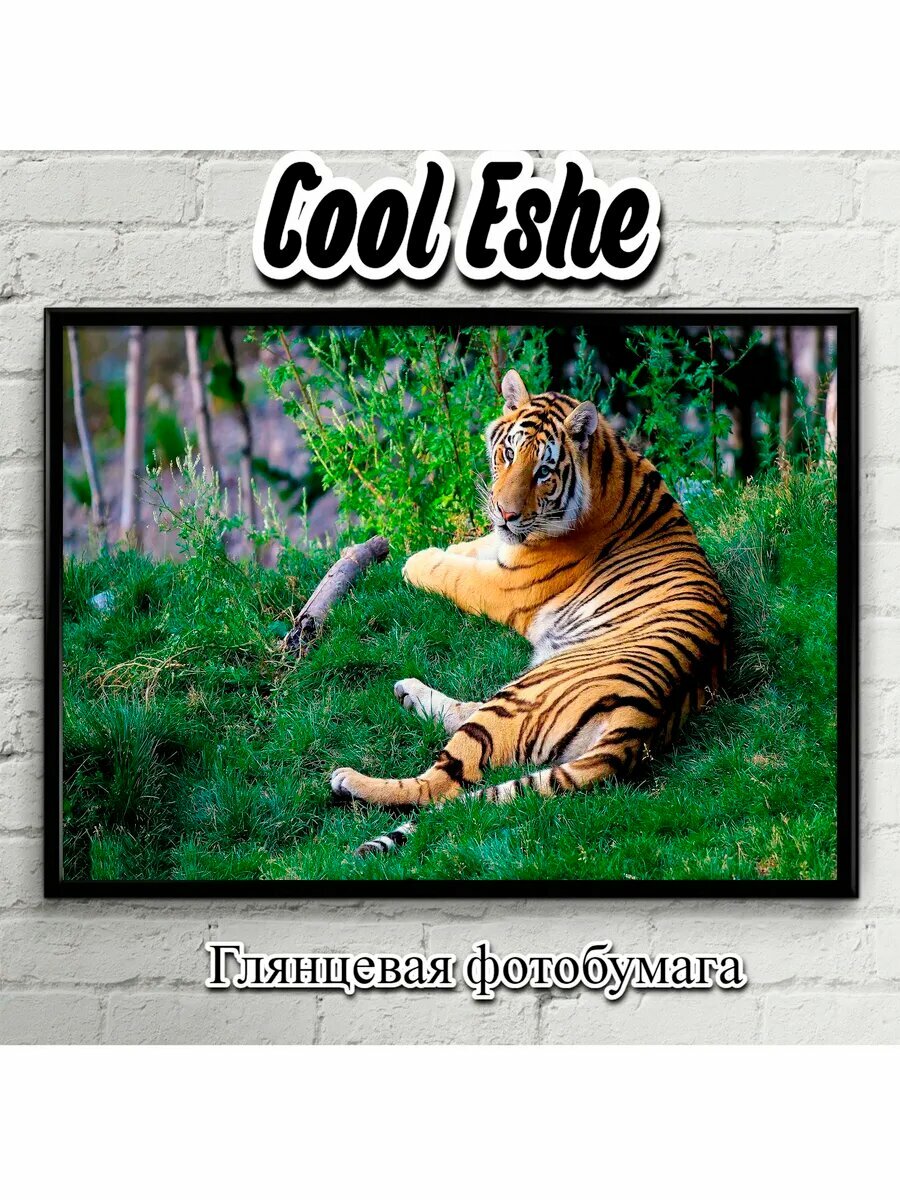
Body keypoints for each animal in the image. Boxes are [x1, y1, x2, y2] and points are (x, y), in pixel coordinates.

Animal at [330, 367, 730, 857]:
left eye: (543, 471)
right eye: (506, 454)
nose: (505, 512)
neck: (608, 465)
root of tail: (643, 721)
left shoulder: (506, 585)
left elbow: (453, 572)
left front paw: (416, 560)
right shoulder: (504, 549)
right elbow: (474, 548)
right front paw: (449, 547)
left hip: (520, 696)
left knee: (441, 786)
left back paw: (350, 780)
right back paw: (408, 690)